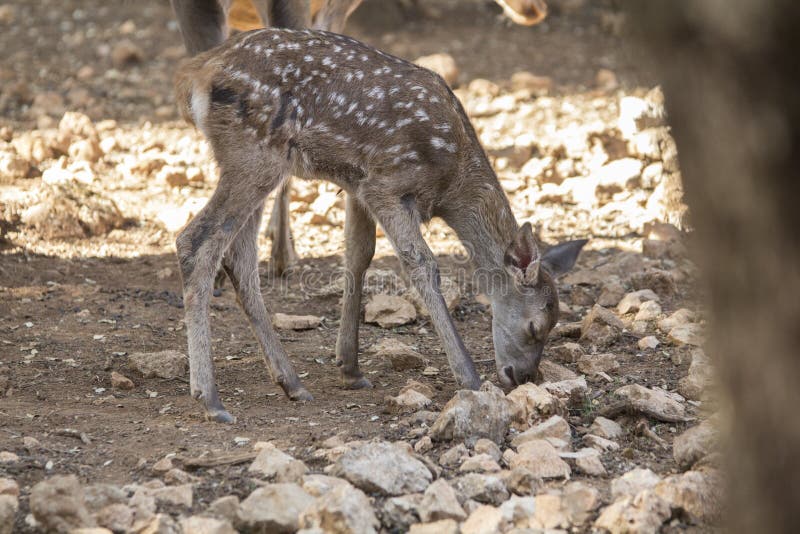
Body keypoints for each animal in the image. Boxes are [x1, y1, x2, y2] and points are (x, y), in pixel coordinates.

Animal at [173, 26, 585, 422]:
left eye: (553, 324)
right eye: (535, 326)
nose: (523, 376)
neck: (451, 185)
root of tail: (198, 72)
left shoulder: (358, 184)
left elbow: (359, 255)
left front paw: (350, 368)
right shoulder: (388, 183)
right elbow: (422, 265)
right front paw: (468, 377)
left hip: (257, 163)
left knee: (239, 259)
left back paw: (291, 382)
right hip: (254, 155)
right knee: (195, 241)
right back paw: (211, 399)